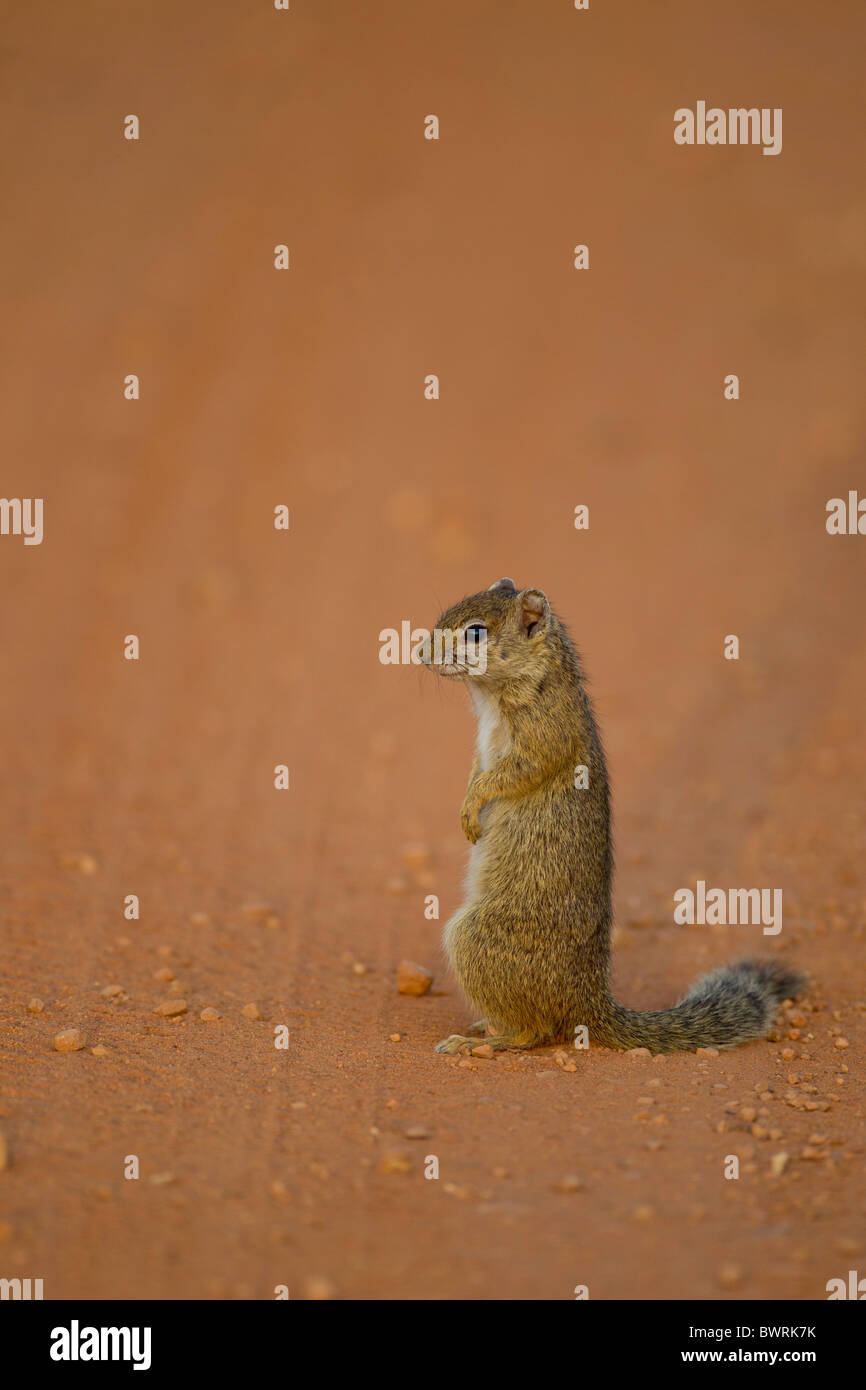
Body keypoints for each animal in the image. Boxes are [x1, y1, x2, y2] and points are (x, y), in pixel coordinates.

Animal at [423, 577, 804, 1055]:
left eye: (476, 633)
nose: (419, 652)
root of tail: (586, 1001)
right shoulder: (485, 745)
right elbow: (479, 768)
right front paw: (465, 804)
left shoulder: (546, 733)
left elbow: (514, 772)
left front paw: (472, 806)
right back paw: (485, 1027)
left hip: (477, 940)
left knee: (535, 1031)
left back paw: (487, 1041)